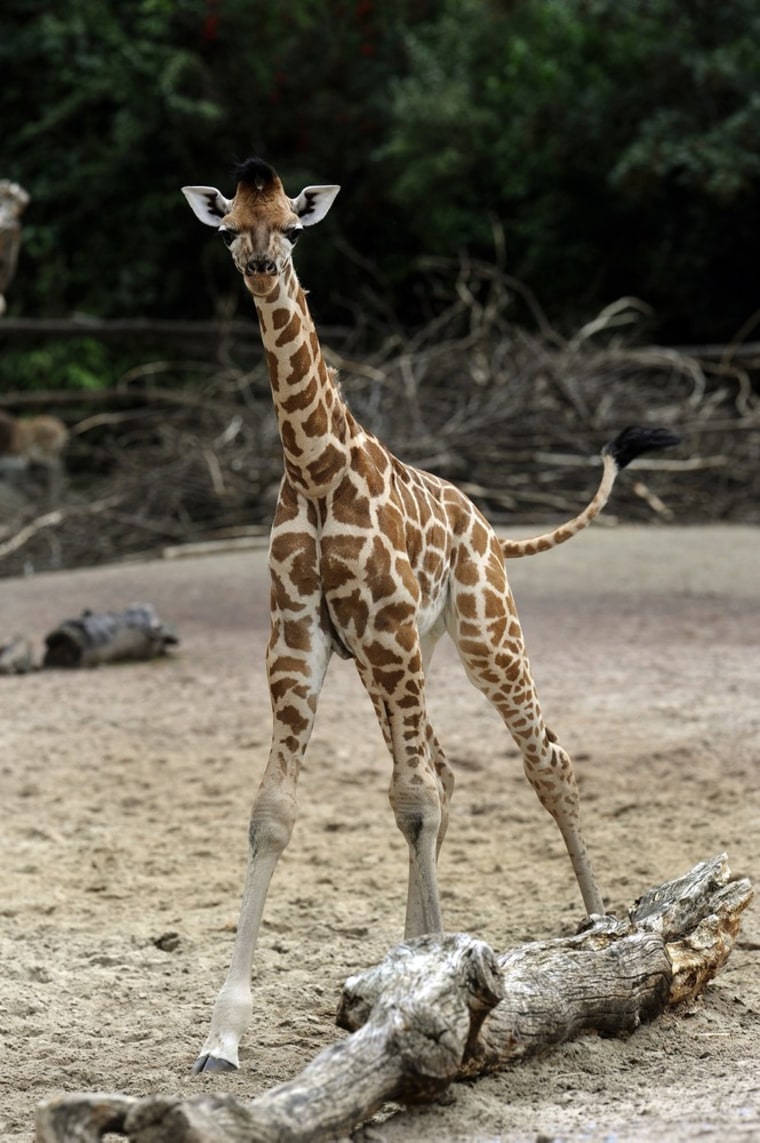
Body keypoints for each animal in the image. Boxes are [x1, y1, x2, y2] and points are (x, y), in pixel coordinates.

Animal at [182, 158, 679, 1073]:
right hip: (403, 656)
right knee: (440, 774)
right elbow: (277, 813)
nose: (262, 268)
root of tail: (489, 527)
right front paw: (222, 1040)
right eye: (231, 226)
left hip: (482, 633)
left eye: (294, 227)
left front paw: (448, 995)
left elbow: (413, 799)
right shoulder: (298, 640)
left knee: (543, 760)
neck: (315, 469)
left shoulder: (376, 632)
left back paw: (602, 925)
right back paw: (407, 952)